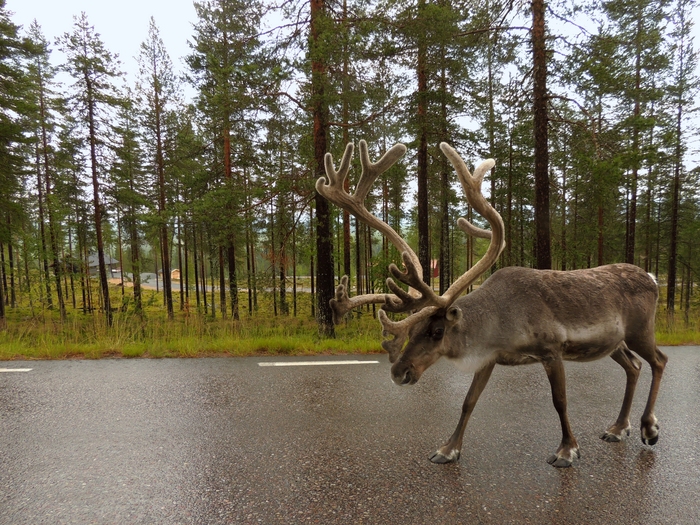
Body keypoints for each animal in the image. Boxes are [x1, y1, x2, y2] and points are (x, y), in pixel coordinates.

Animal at [317, 140, 667, 468]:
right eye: (412, 329)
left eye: (437, 331)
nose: (398, 372)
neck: (498, 323)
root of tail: (652, 278)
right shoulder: (490, 357)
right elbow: (468, 401)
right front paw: (448, 449)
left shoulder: (552, 350)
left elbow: (560, 401)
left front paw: (567, 451)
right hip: (614, 342)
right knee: (634, 366)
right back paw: (618, 428)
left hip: (640, 330)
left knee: (658, 361)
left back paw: (648, 428)